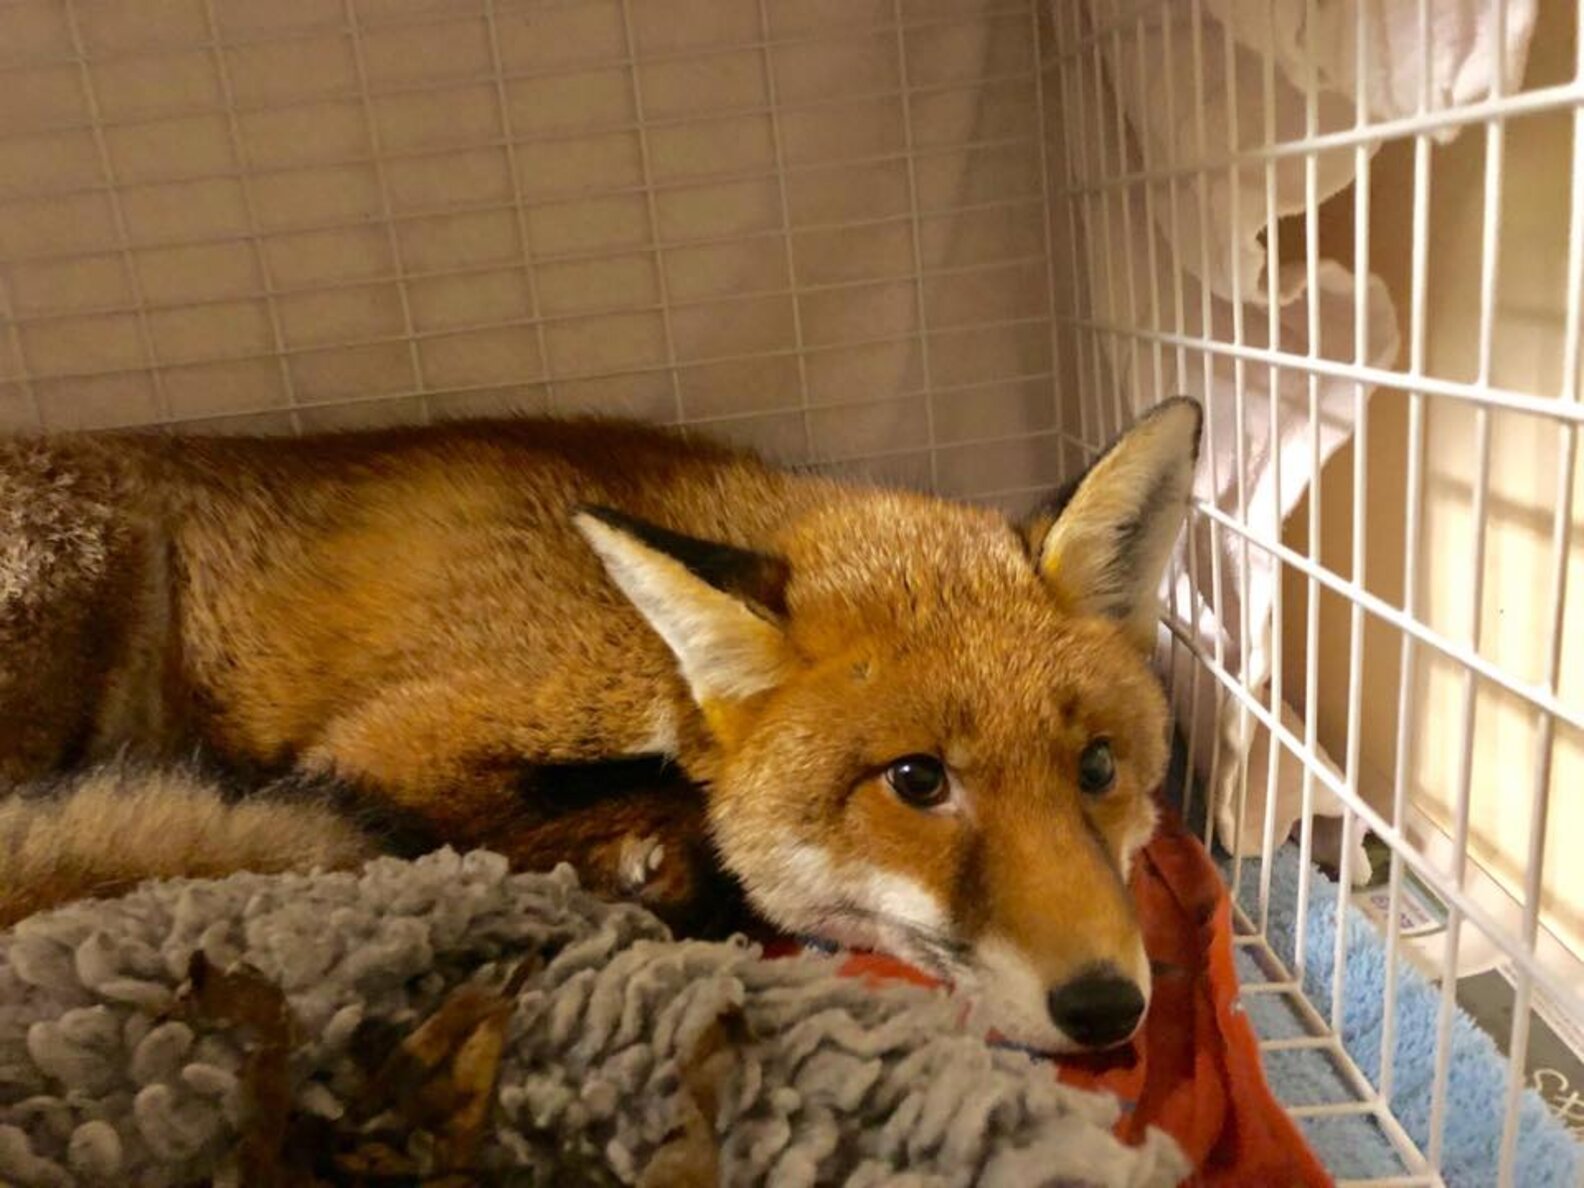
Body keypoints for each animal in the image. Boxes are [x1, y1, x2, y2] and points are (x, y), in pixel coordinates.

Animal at [0, 397, 1201, 1053]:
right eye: (917, 782)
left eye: (1098, 766)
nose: (1107, 1008)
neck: (648, 658)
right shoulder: (382, 746)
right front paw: (646, 865)